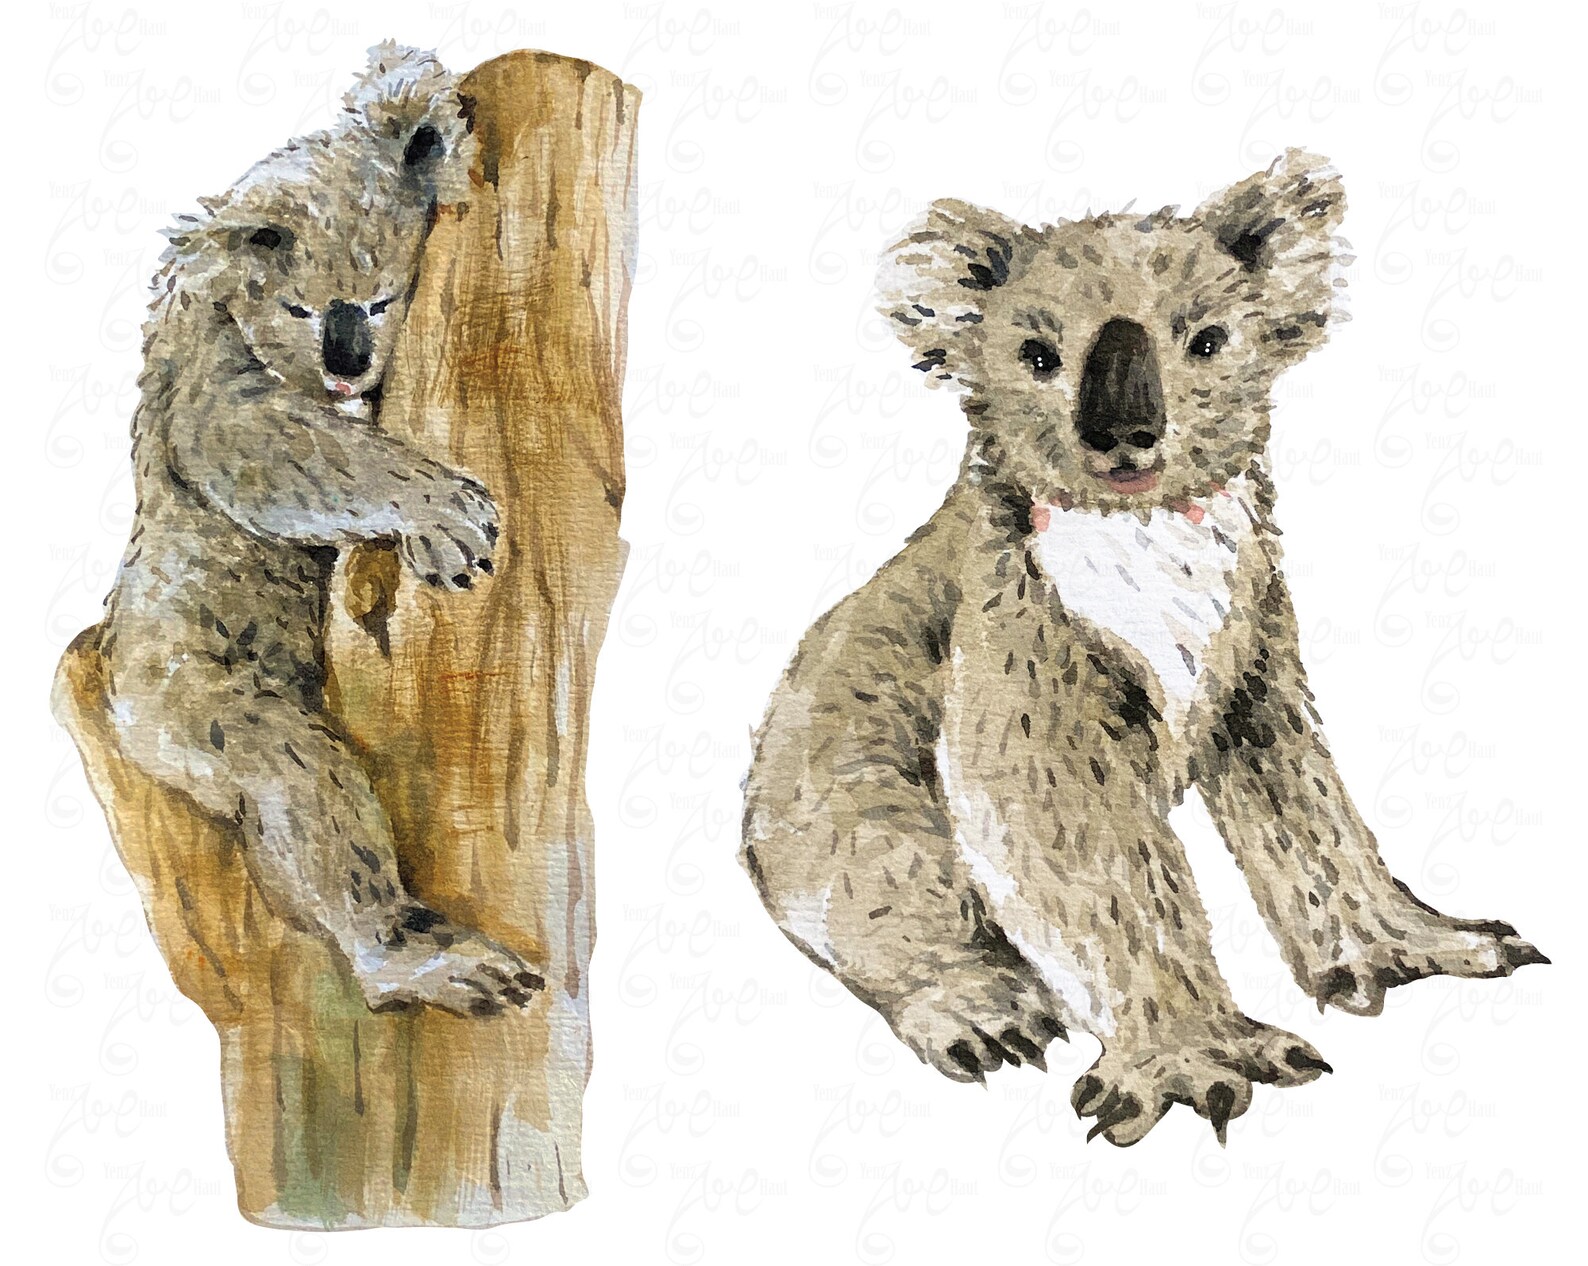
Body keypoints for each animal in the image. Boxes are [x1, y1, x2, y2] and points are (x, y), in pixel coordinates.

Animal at [98, 43, 543, 1017]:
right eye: (303, 311)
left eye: (380, 302)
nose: (348, 369)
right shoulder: (212, 376)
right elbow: (263, 447)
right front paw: (446, 519)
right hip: (189, 704)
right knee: (301, 781)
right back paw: (423, 962)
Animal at [740, 150, 1546, 1145]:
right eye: (1038, 357)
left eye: (1205, 341)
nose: (1123, 431)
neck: (1145, 530)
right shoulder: (1020, 650)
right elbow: (1086, 851)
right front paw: (1194, 1057)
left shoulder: (1254, 648)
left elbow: (1310, 815)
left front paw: (1414, 945)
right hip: (848, 830)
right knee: (886, 917)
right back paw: (980, 1010)